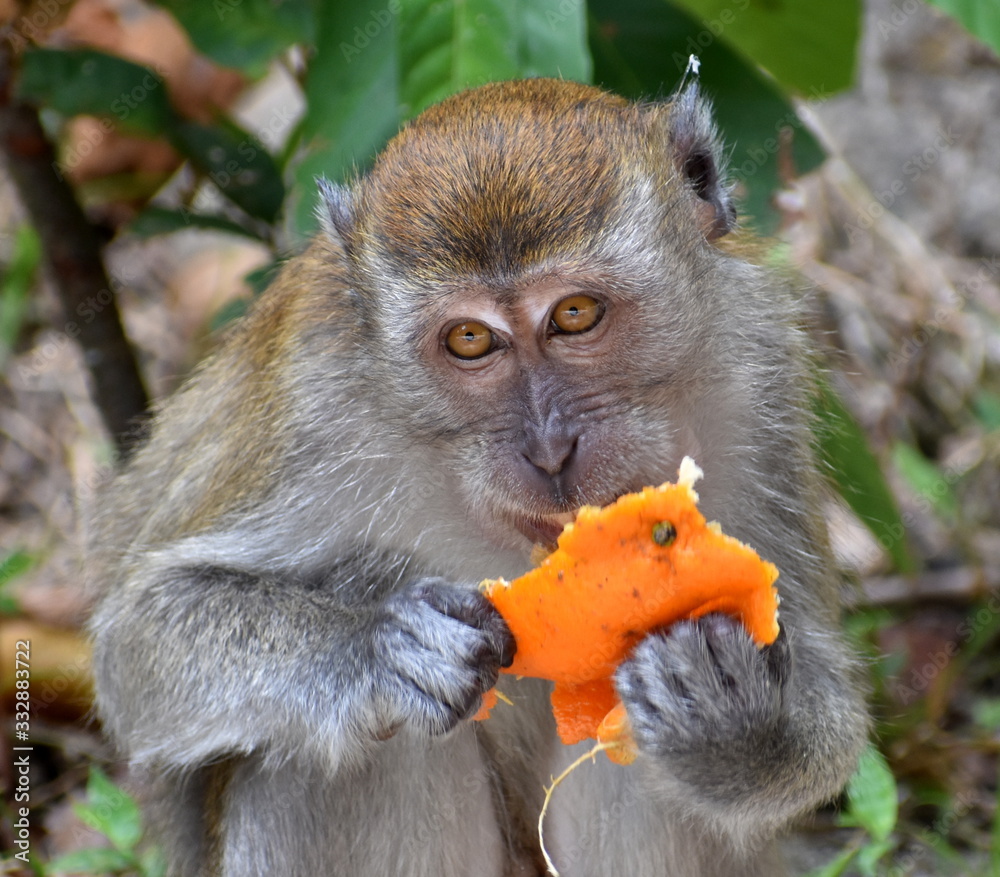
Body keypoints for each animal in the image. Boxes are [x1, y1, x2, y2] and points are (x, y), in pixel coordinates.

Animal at [87, 78, 869, 877]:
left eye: (575, 314)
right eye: (469, 339)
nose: (550, 450)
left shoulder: (759, 371)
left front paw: (739, 728)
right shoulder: (312, 401)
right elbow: (138, 640)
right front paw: (375, 648)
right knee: (347, 751)